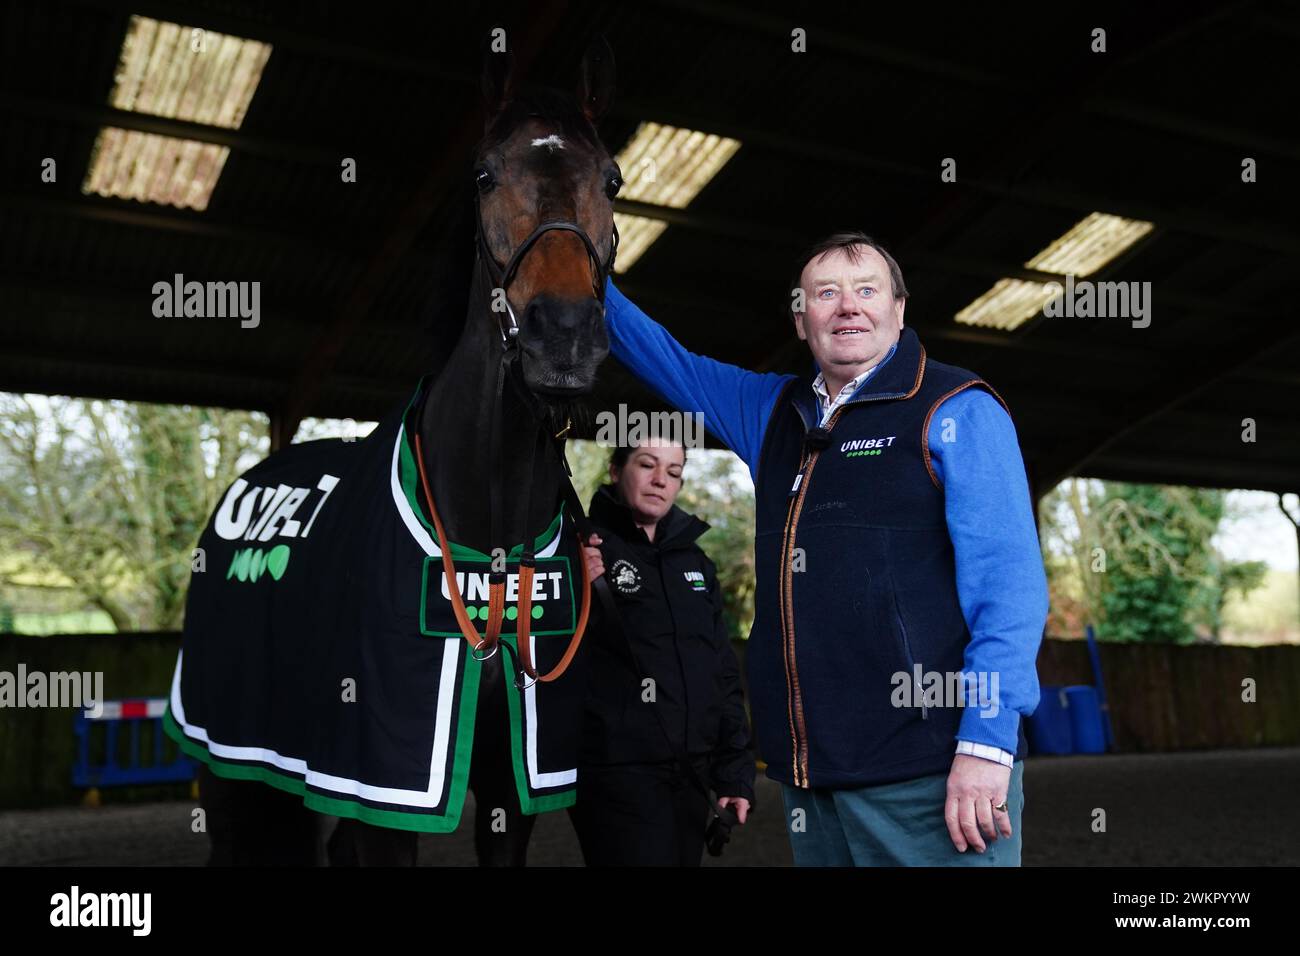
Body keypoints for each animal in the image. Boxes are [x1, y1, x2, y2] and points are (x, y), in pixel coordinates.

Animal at [166, 39, 621, 866]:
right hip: (231, 769)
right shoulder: (384, 793)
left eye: (611, 179)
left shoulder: (514, 789)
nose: (564, 335)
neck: (487, 543)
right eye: (483, 175)